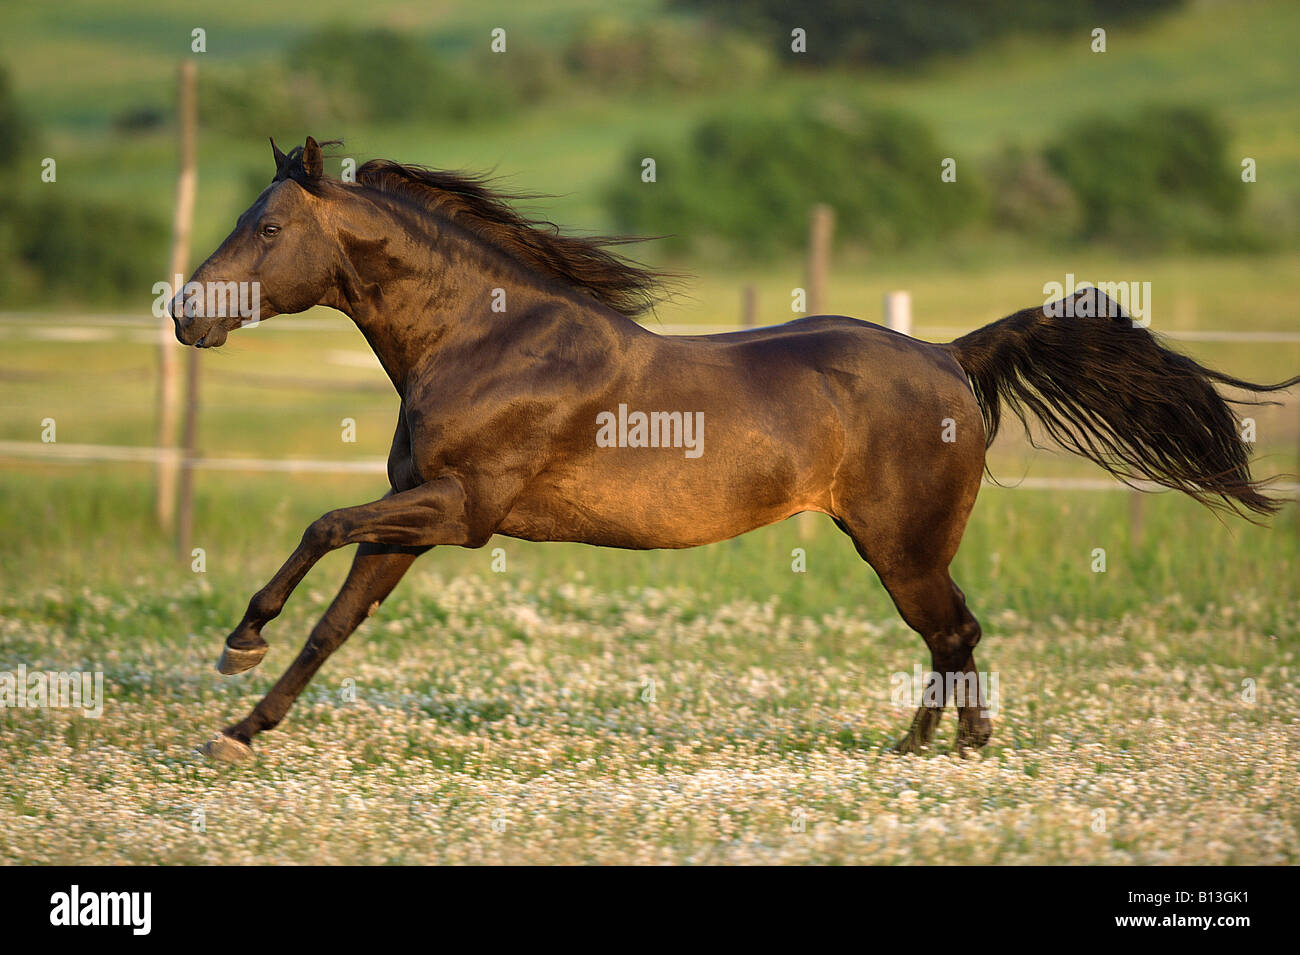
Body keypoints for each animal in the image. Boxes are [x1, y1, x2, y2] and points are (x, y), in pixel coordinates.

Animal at [172, 137, 1298, 764]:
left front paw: (236, 642)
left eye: (267, 229)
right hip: (894, 546)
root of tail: (948, 353)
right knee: (951, 638)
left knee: (955, 633)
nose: (184, 313)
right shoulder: (417, 519)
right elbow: (334, 626)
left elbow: (319, 523)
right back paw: (920, 748)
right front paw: (241, 726)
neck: (485, 341)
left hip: (904, 546)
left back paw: (945, 749)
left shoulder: (463, 512)